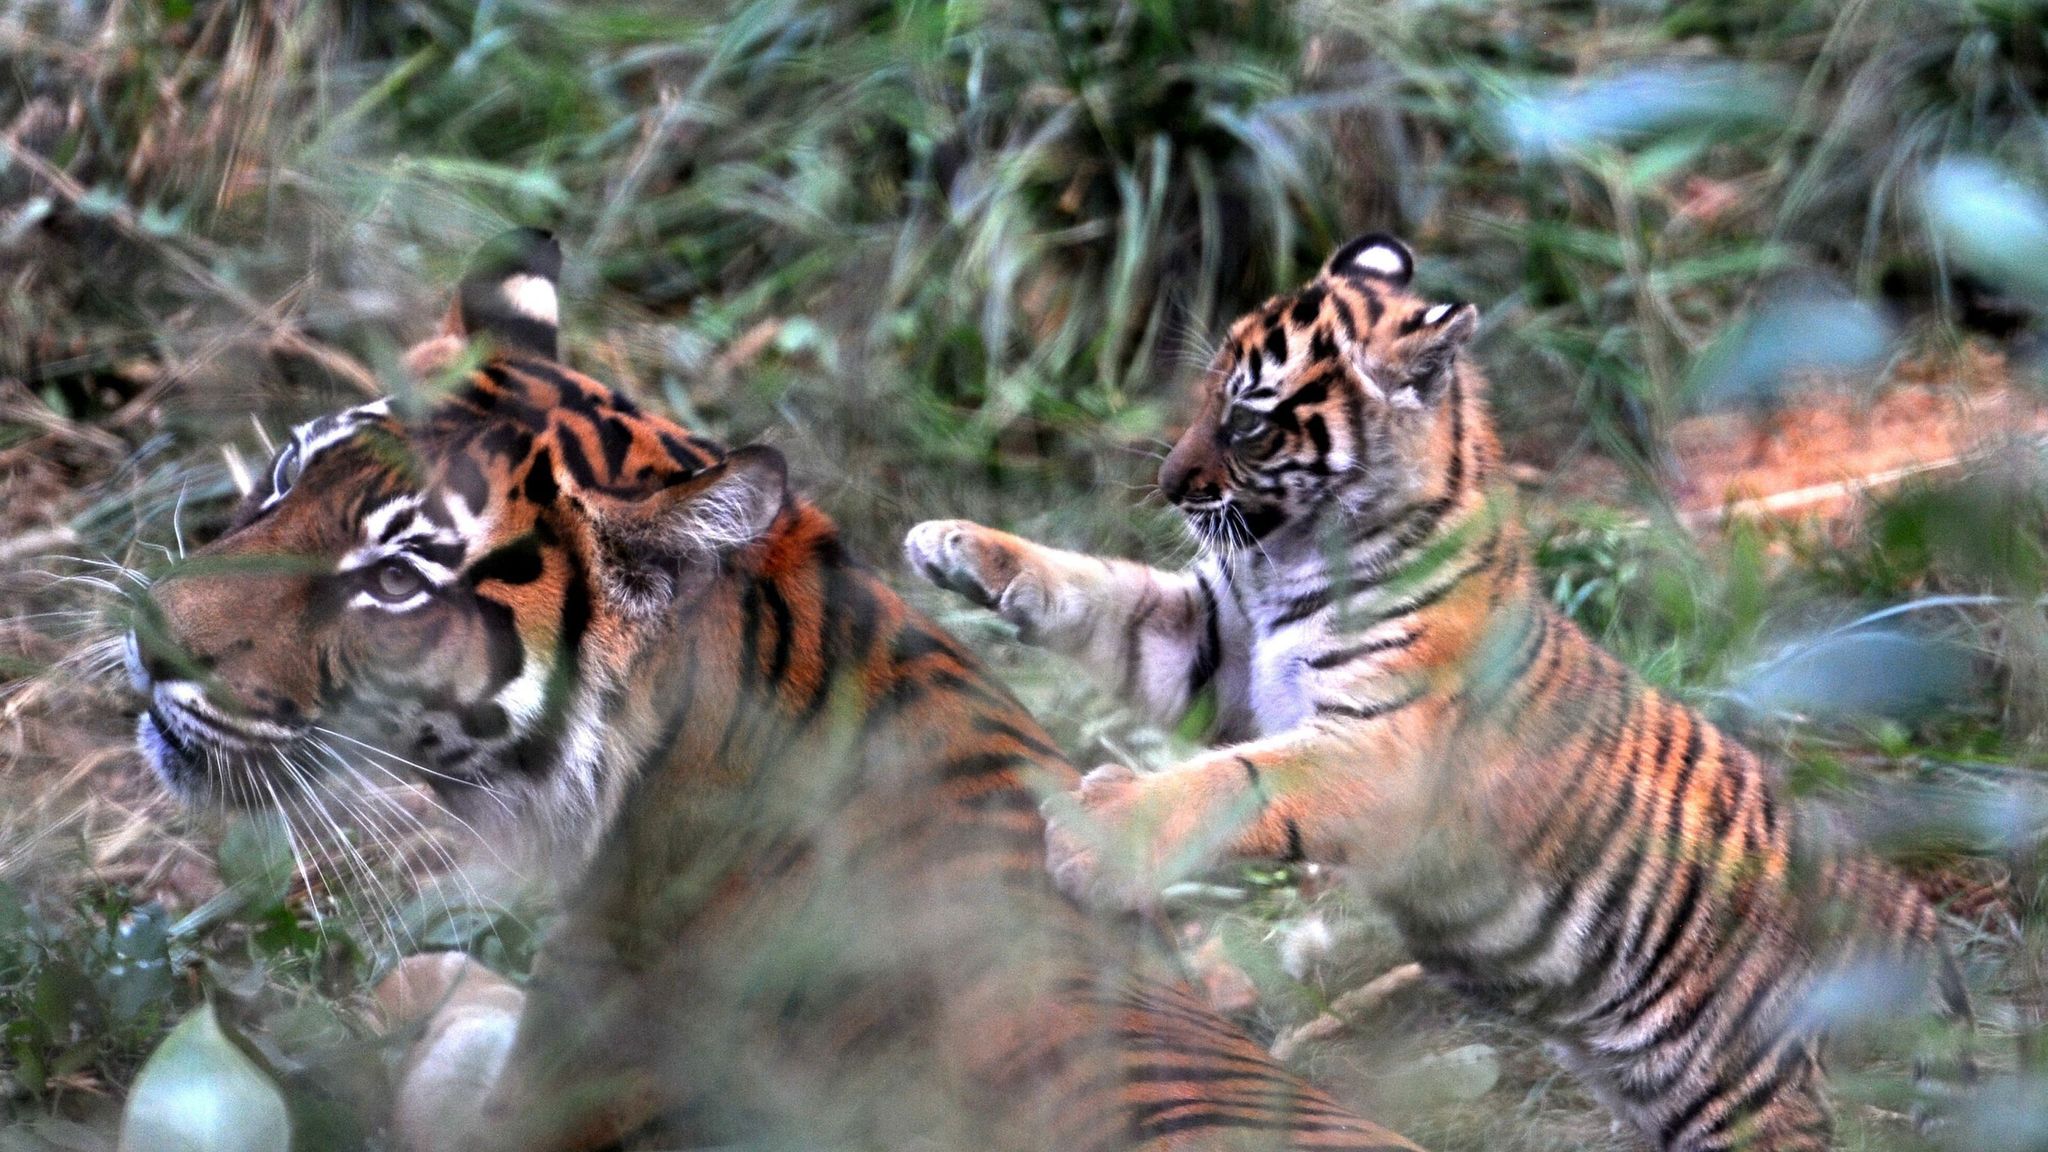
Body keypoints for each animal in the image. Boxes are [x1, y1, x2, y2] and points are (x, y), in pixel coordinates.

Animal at [905, 233, 1978, 1151]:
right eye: (1205, 396)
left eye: (1245, 420)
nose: (1169, 485)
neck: (1297, 555)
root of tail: (1907, 916)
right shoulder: (1211, 646)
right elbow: (1100, 591)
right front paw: (954, 546)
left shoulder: (1382, 748)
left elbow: (1235, 781)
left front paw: (1098, 831)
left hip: (1741, 1091)